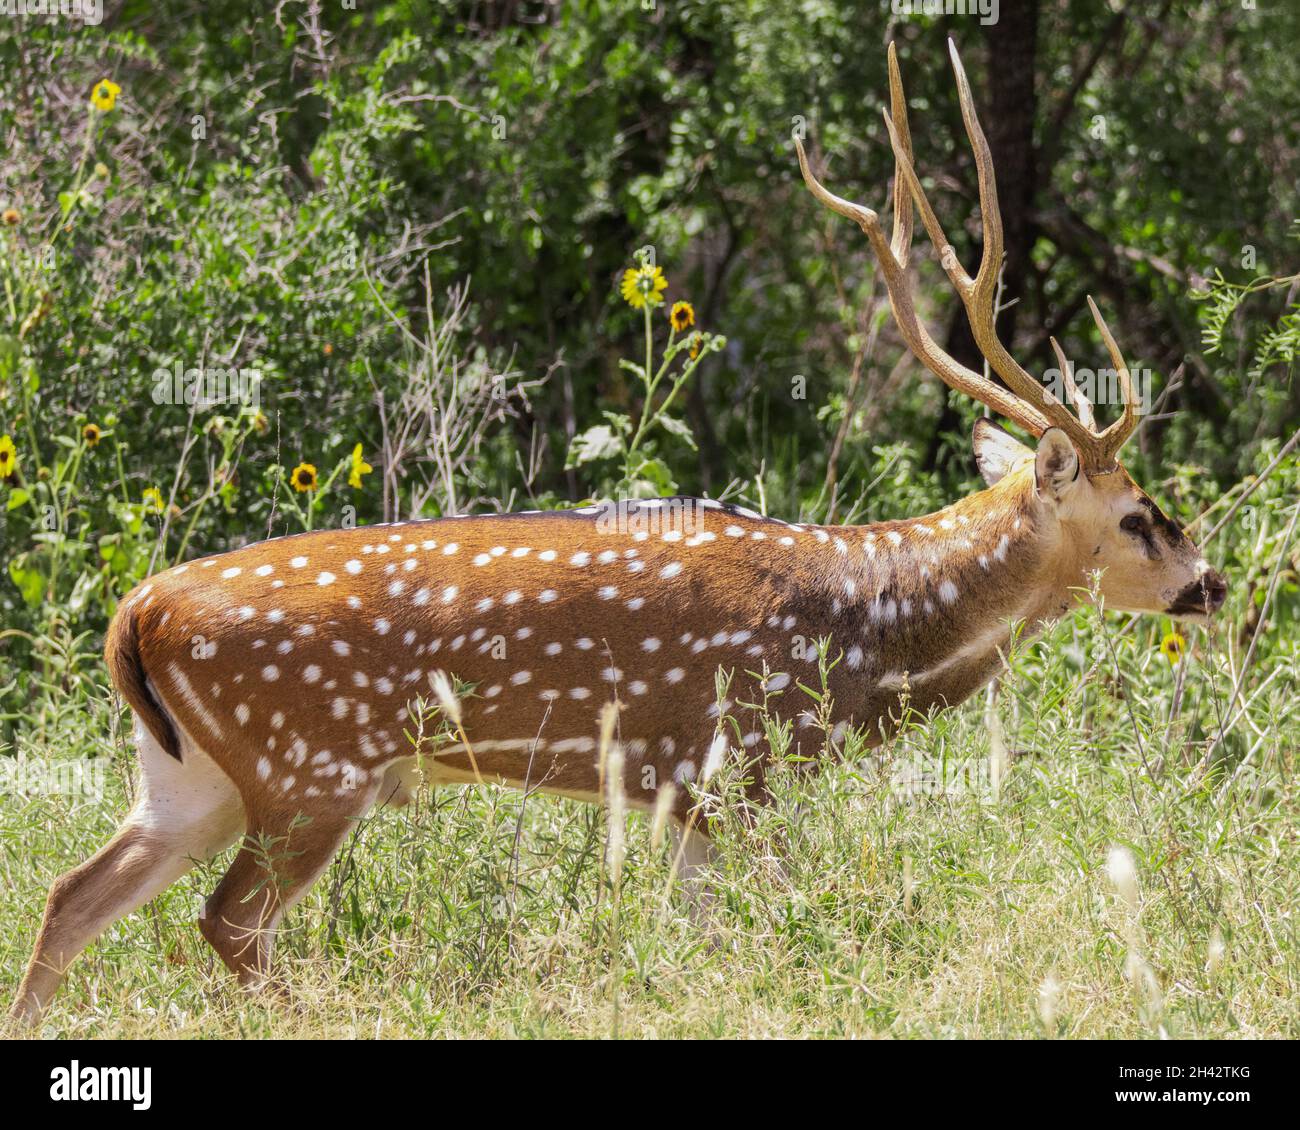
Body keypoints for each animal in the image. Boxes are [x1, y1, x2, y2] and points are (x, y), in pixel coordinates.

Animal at [11, 40, 1226, 1024]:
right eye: (1137, 514)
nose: (1209, 583)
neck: (856, 635)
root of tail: (134, 614)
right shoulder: (736, 764)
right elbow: (771, 937)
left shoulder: (676, 795)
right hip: (305, 765)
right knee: (225, 923)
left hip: (191, 777)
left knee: (71, 895)